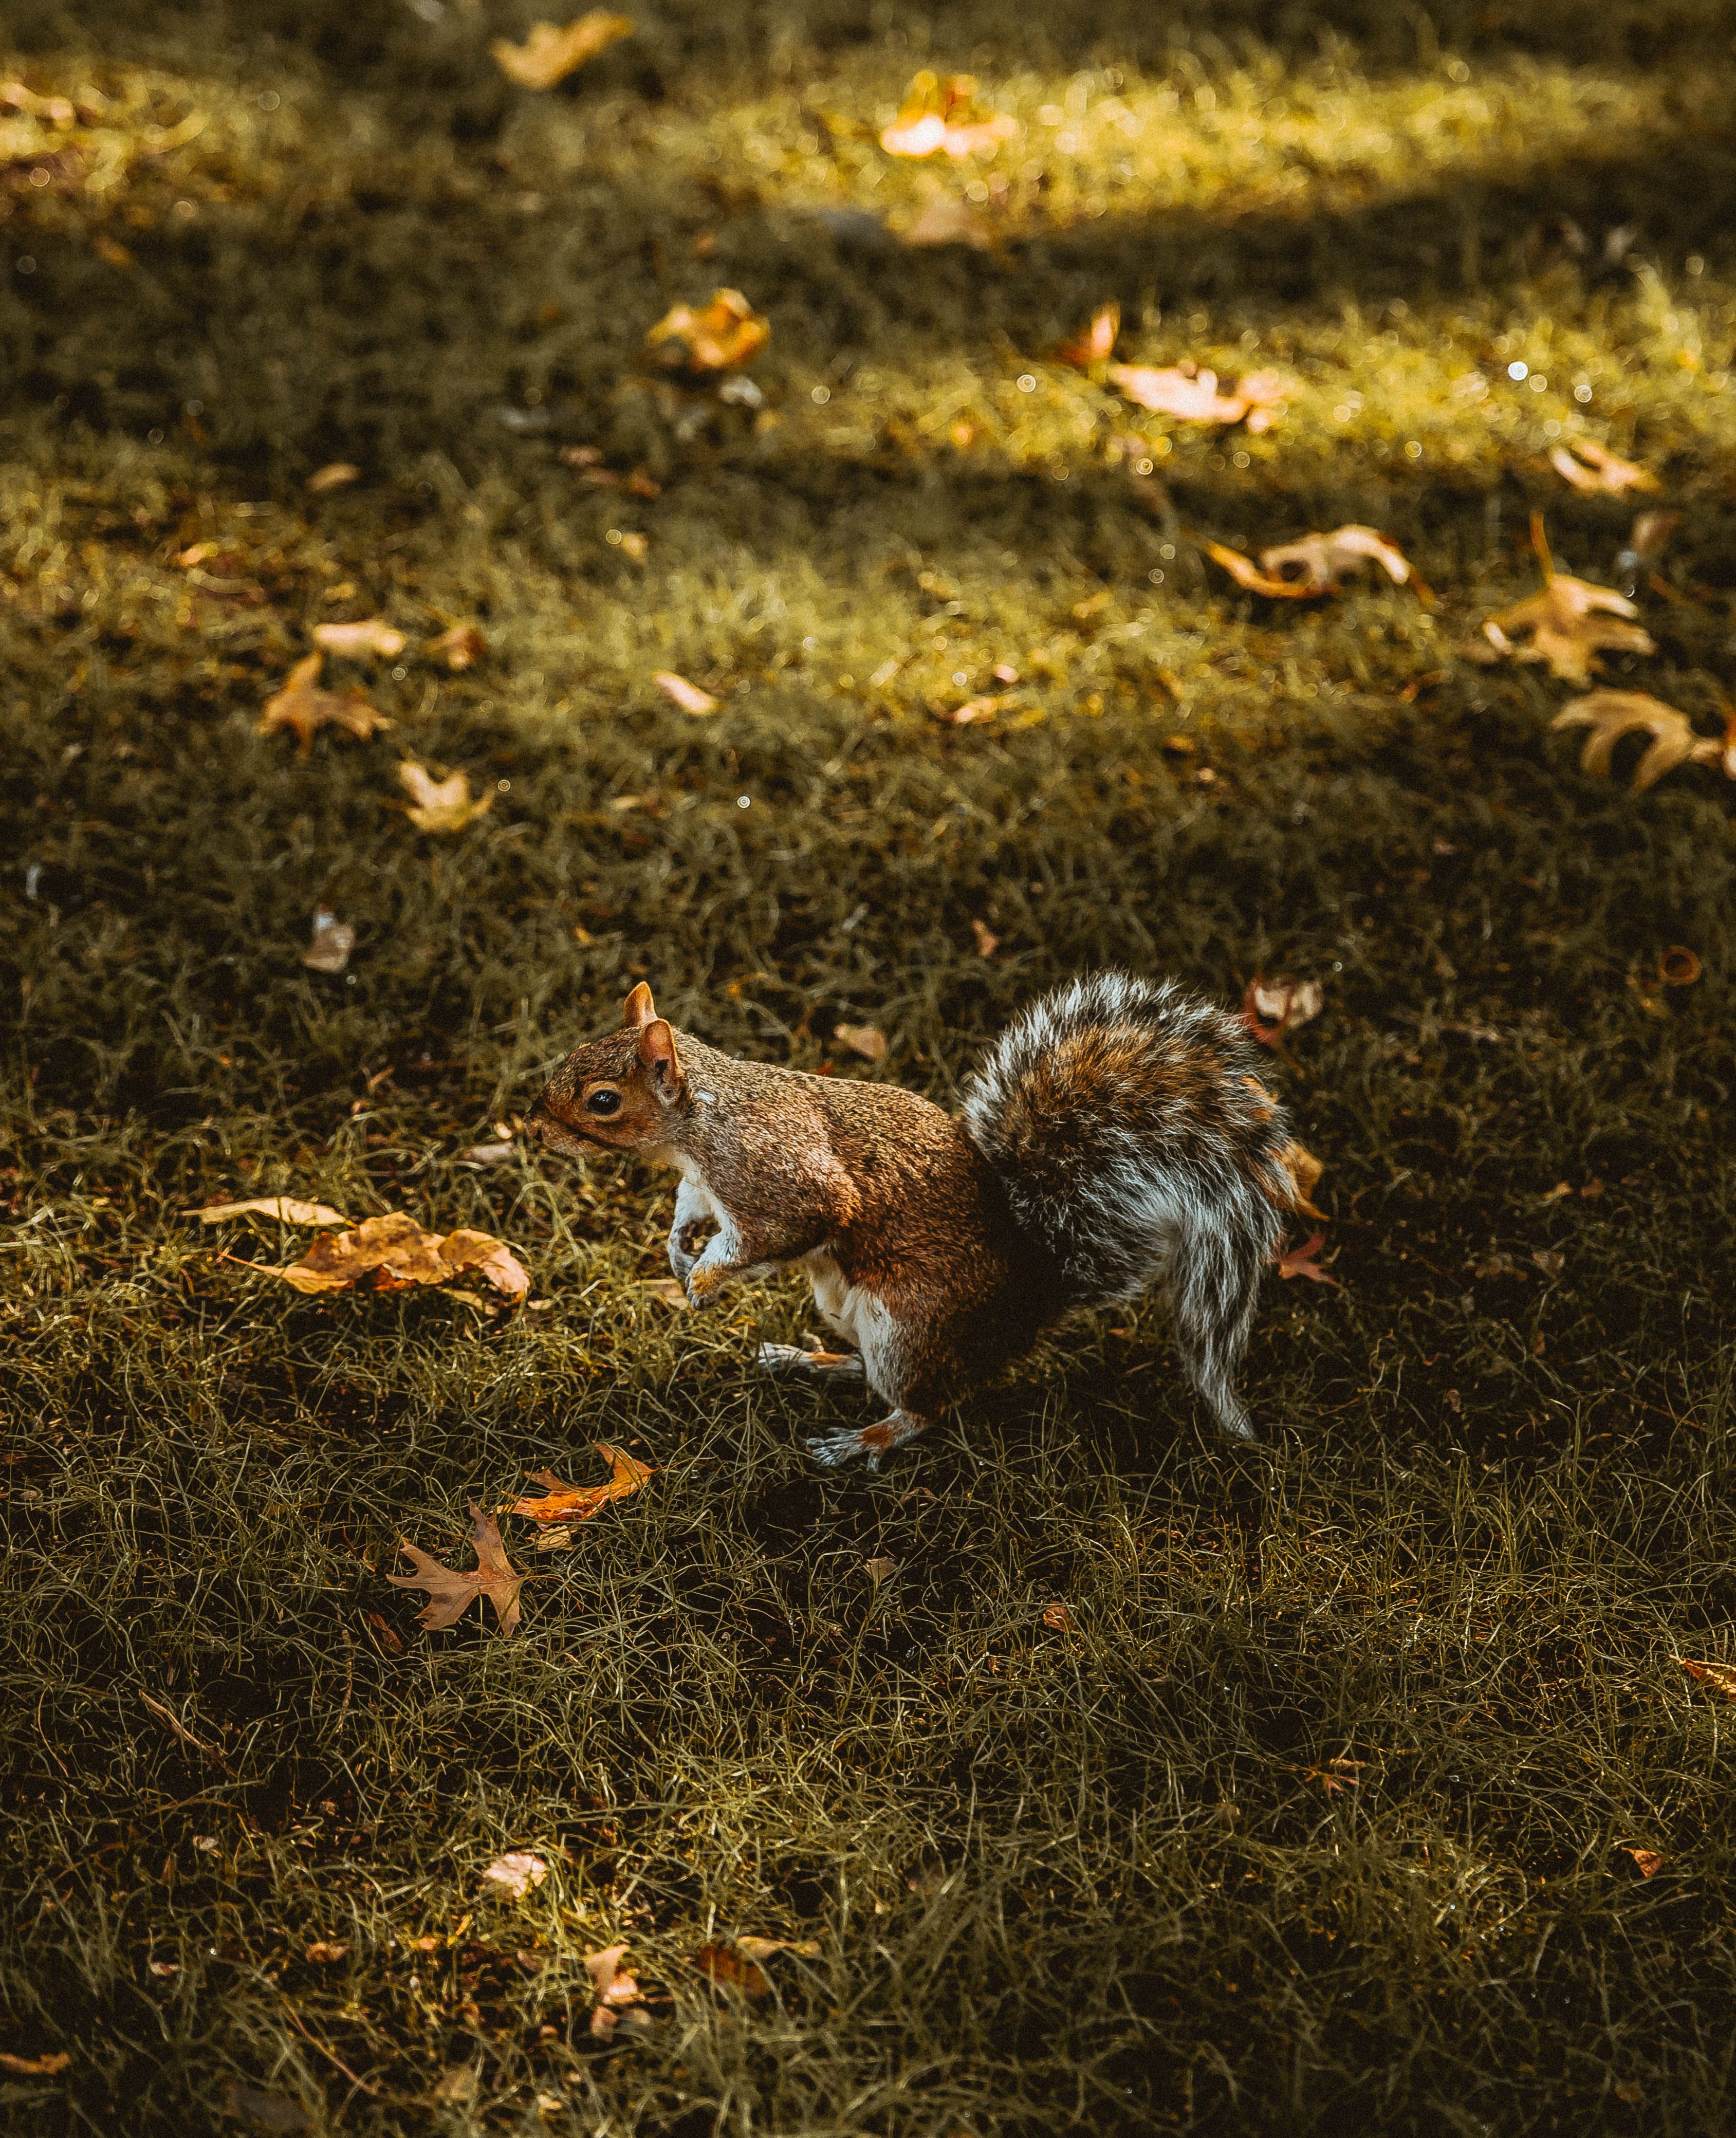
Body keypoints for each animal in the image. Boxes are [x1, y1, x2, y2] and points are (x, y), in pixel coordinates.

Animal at [527, 972, 1304, 1470]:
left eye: (602, 1100)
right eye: (572, 1054)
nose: (534, 1129)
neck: (696, 1126)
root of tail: (1029, 1302)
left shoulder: (780, 1182)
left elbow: (776, 1234)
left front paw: (708, 1279)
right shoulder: (703, 1185)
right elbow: (690, 1211)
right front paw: (678, 1251)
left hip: (911, 1323)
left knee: (924, 1406)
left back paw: (865, 1440)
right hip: (842, 1303)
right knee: (866, 1369)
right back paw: (809, 1359)